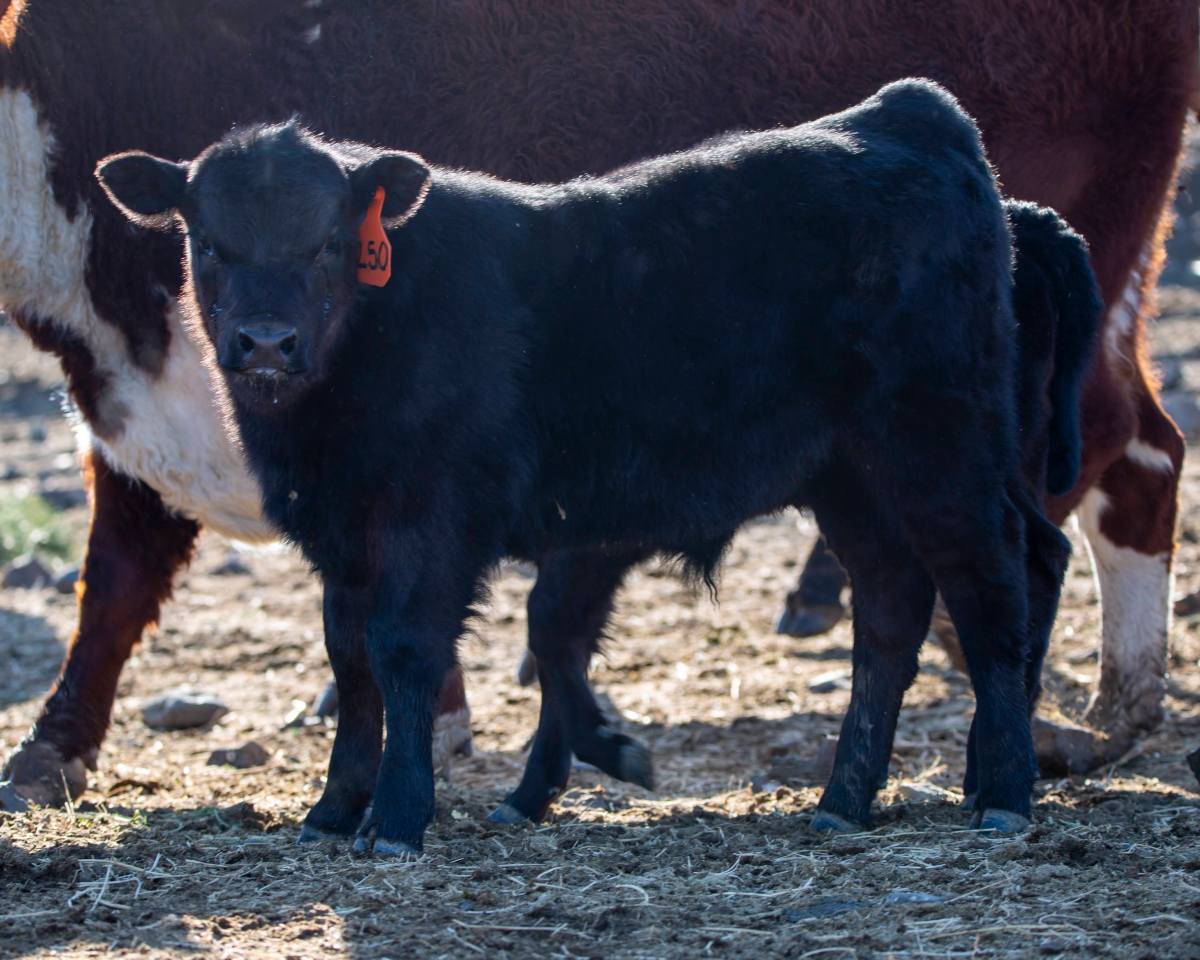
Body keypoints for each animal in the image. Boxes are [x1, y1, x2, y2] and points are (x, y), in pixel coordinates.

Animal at [0, 0, 1195, 810]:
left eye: (334, 241)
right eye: (203, 240)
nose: (262, 341)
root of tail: (920, 116)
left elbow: (417, 631)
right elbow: (121, 579)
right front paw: (52, 750)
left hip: (1008, 371)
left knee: (1068, 504)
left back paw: (1039, 741)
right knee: (1085, 491)